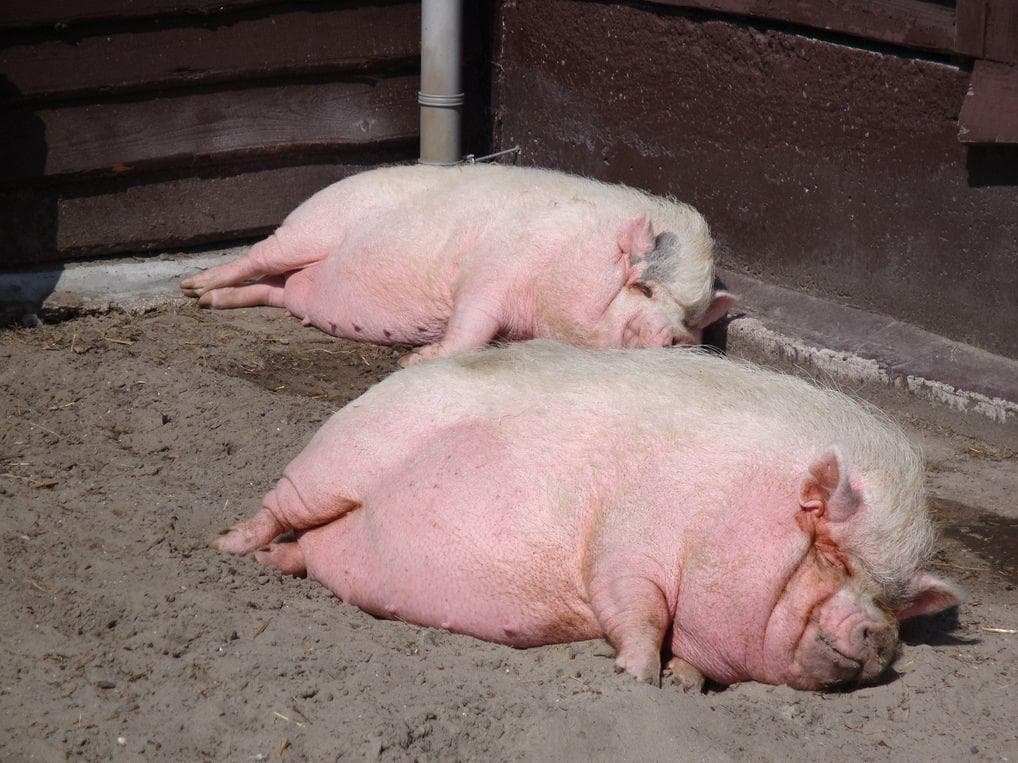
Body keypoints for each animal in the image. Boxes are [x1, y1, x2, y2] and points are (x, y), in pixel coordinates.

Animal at [180, 164, 734, 364]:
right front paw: (414, 361)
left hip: (292, 279)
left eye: (691, 318)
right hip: (306, 230)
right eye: (643, 288)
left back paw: (213, 301)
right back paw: (194, 289)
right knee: (258, 255)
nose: (677, 338)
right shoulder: (490, 272)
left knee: (274, 288)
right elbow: (471, 326)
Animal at [212, 341, 960, 690]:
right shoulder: (626, 543)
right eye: (830, 554)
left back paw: (273, 563)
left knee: (307, 548)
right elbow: (638, 609)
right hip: (334, 460)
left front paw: (682, 684)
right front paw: (637, 678)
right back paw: (228, 548)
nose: (880, 633)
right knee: (280, 504)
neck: (723, 506)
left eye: (894, 600)